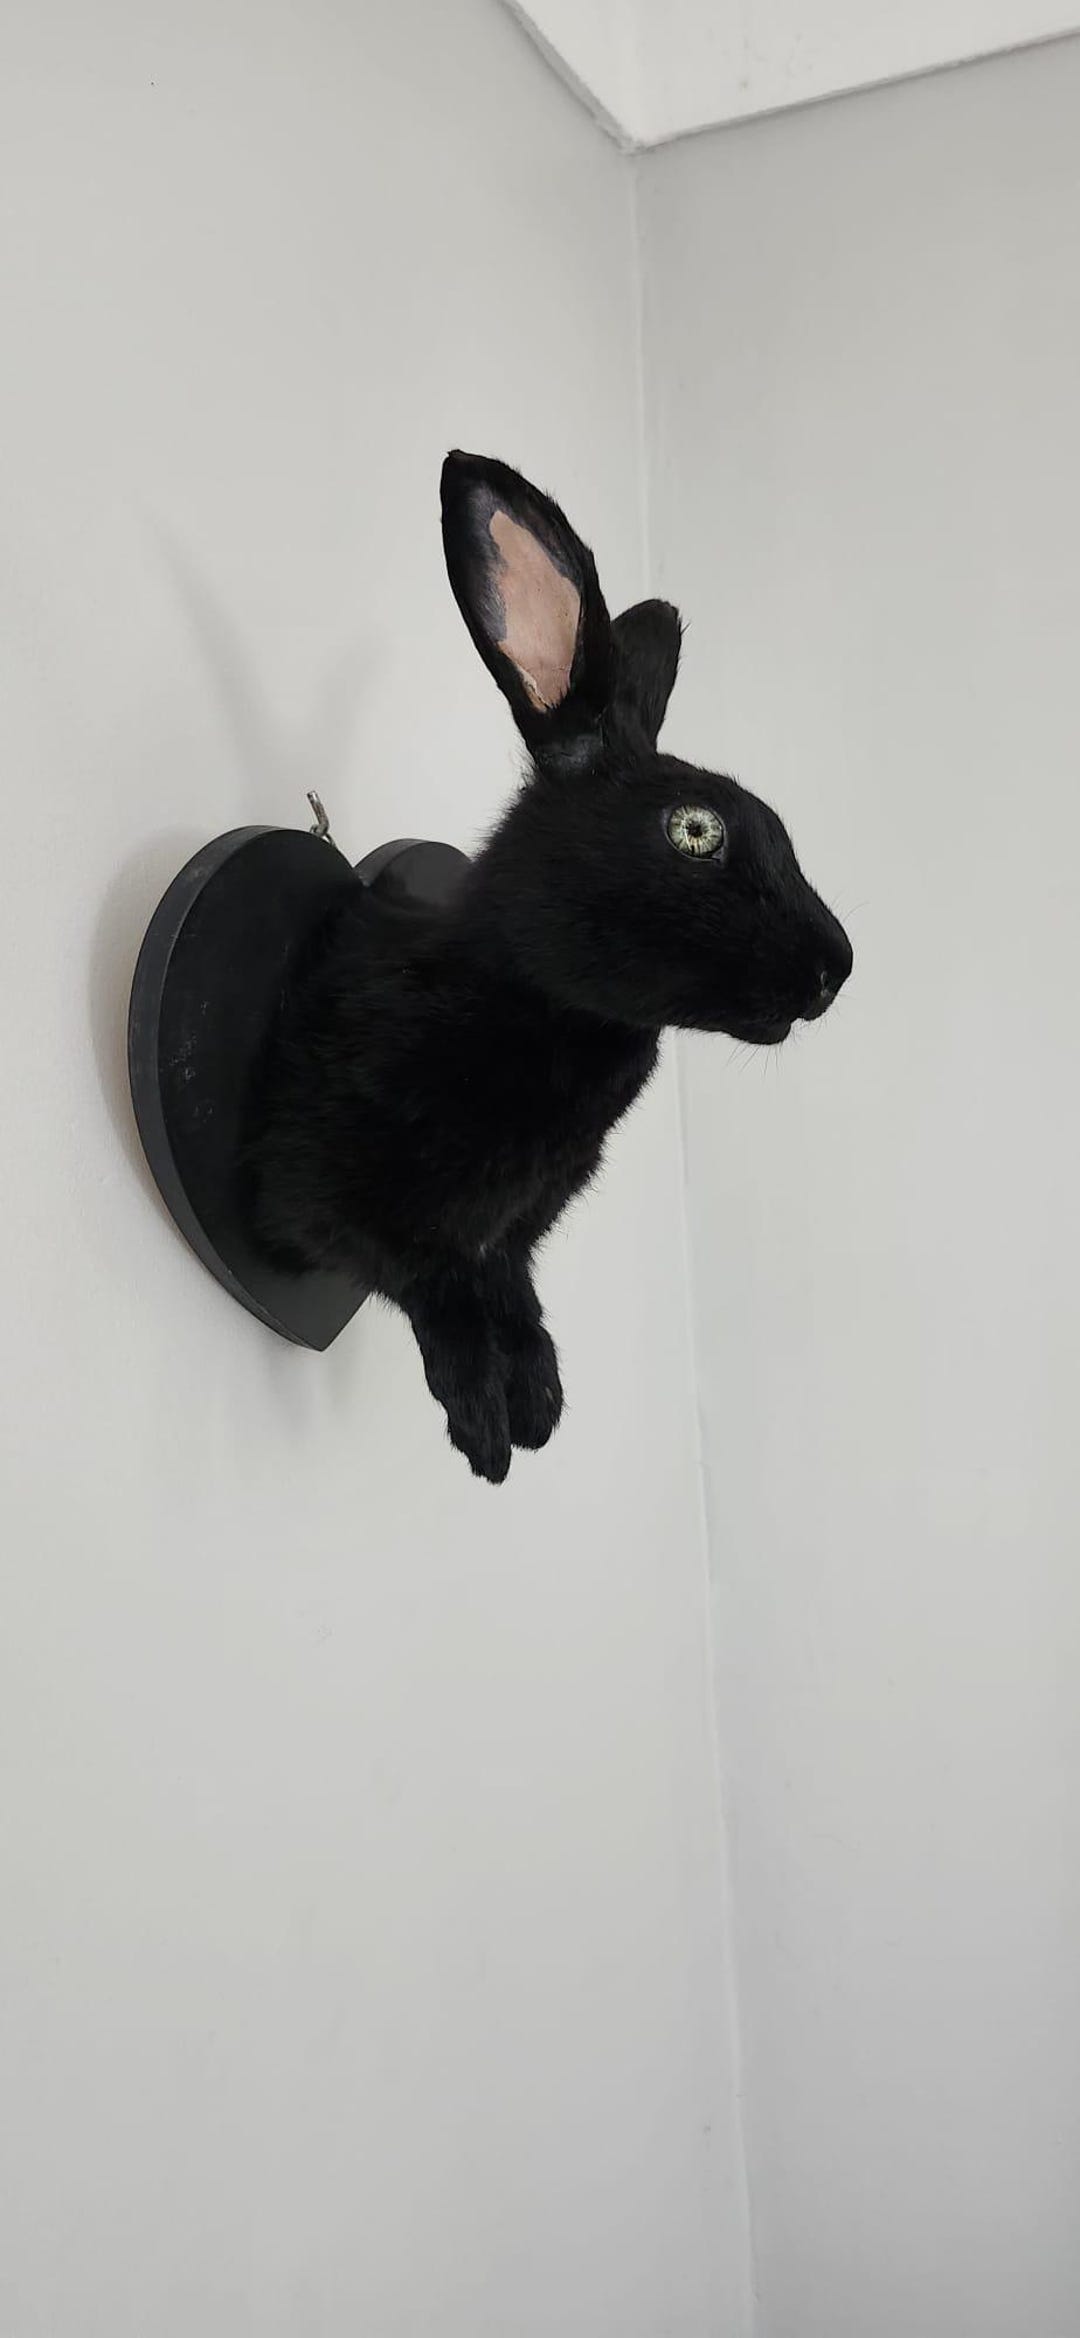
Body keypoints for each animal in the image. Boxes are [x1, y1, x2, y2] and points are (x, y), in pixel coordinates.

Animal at [248, 451, 853, 1483]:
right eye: (696, 831)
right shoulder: (340, 1194)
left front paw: (537, 1402)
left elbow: (511, 1291)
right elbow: (434, 1285)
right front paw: (485, 1428)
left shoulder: (522, 1225)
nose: (836, 968)